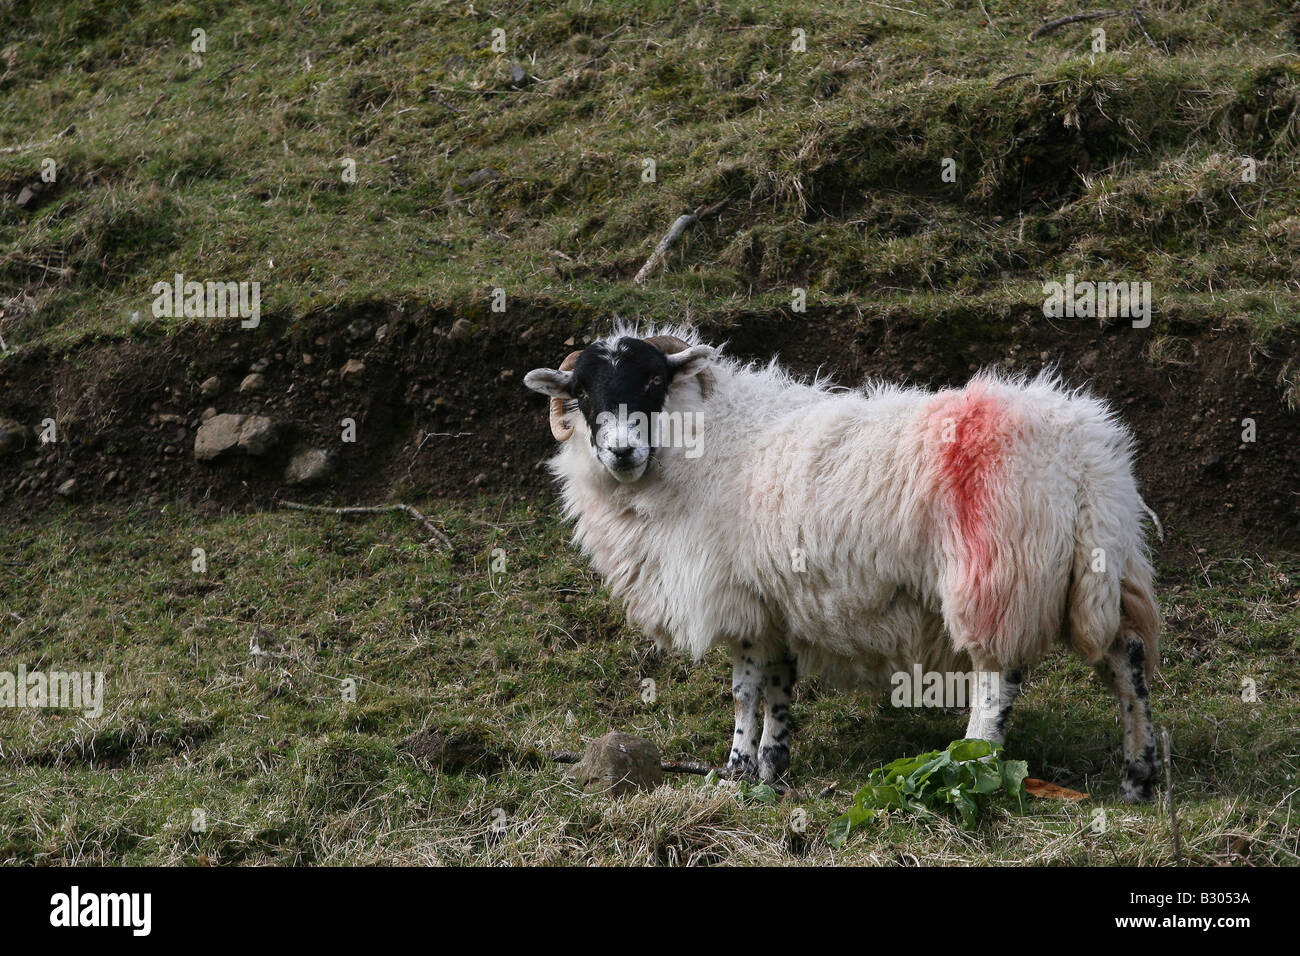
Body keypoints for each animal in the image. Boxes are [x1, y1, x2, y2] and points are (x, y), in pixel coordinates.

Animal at [524, 325, 1162, 801]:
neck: (700, 440)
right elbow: (778, 687)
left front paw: (735, 770)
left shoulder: (739, 598)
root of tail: (1082, 451)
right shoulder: (774, 604)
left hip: (996, 573)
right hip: (1102, 573)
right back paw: (1138, 777)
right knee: (1127, 662)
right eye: (583, 391)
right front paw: (771, 767)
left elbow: (744, 692)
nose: (621, 451)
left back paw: (972, 761)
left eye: (653, 379)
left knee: (995, 678)